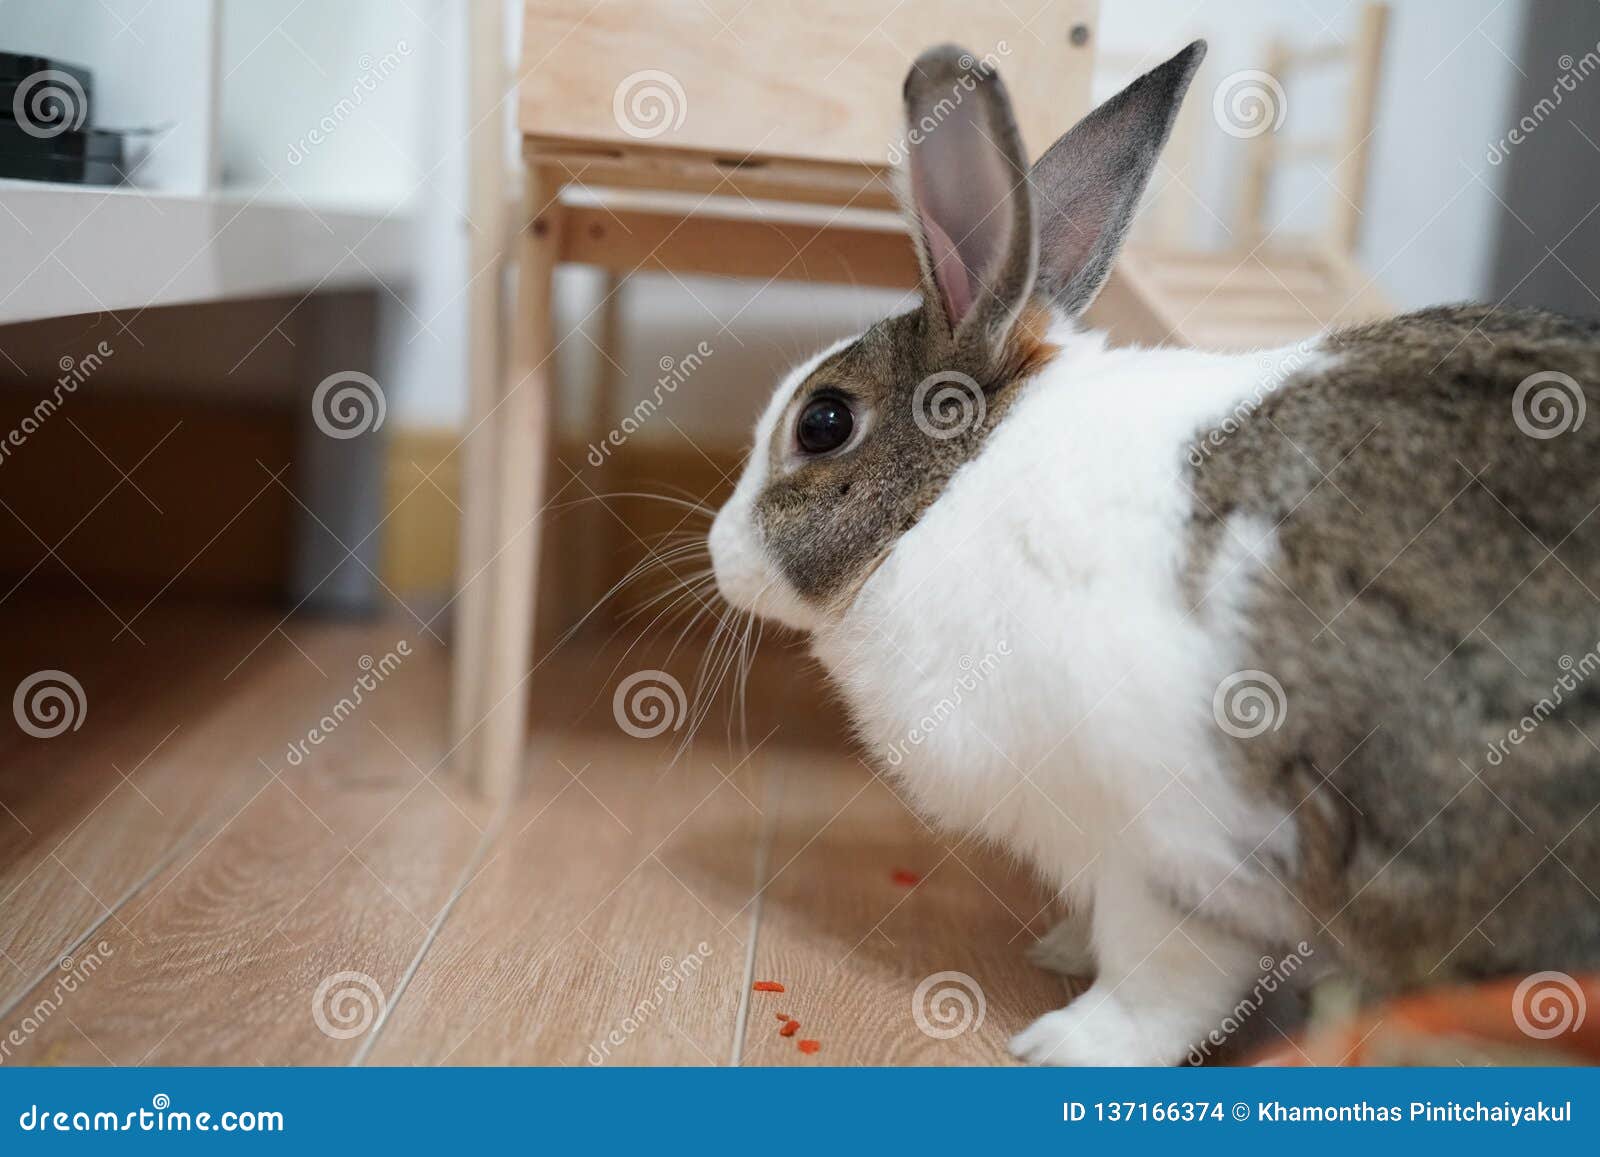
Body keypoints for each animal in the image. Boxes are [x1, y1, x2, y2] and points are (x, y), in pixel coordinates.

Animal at [708, 39, 1600, 1065]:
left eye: (822, 423)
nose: (718, 549)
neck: (953, 497)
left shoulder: (1172, 847)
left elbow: (1164, 980)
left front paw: (1064, 1043)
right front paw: (1060, 949)